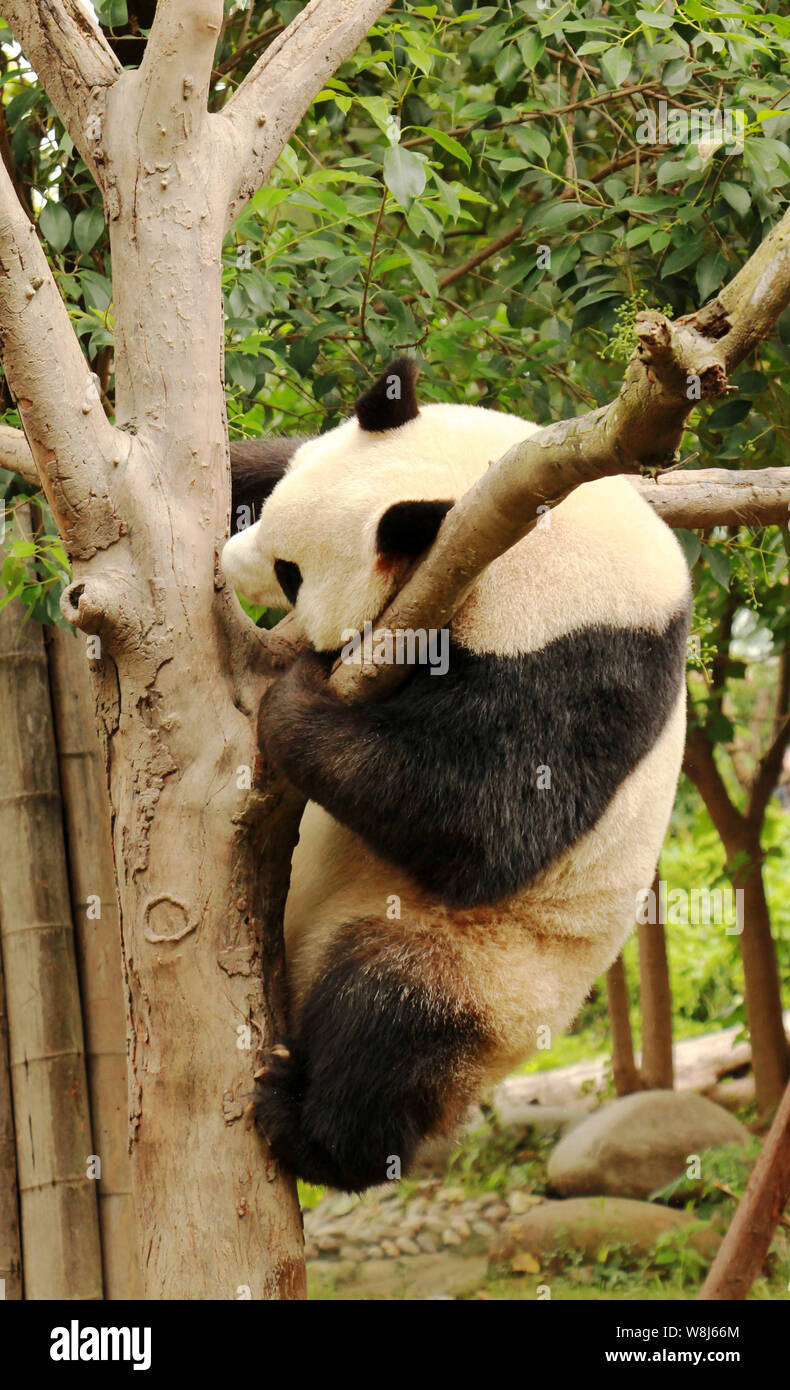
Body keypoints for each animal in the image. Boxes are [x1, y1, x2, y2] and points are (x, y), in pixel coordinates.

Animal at [222, 358, 691, 1193]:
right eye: (264, 518)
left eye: (291, 571)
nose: (225, 564)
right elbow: (262, 454)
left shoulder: (581, 648)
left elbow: (486, 819)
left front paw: (297, 696)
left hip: (491, 969)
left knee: (393, 1011)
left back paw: (313, 1130)